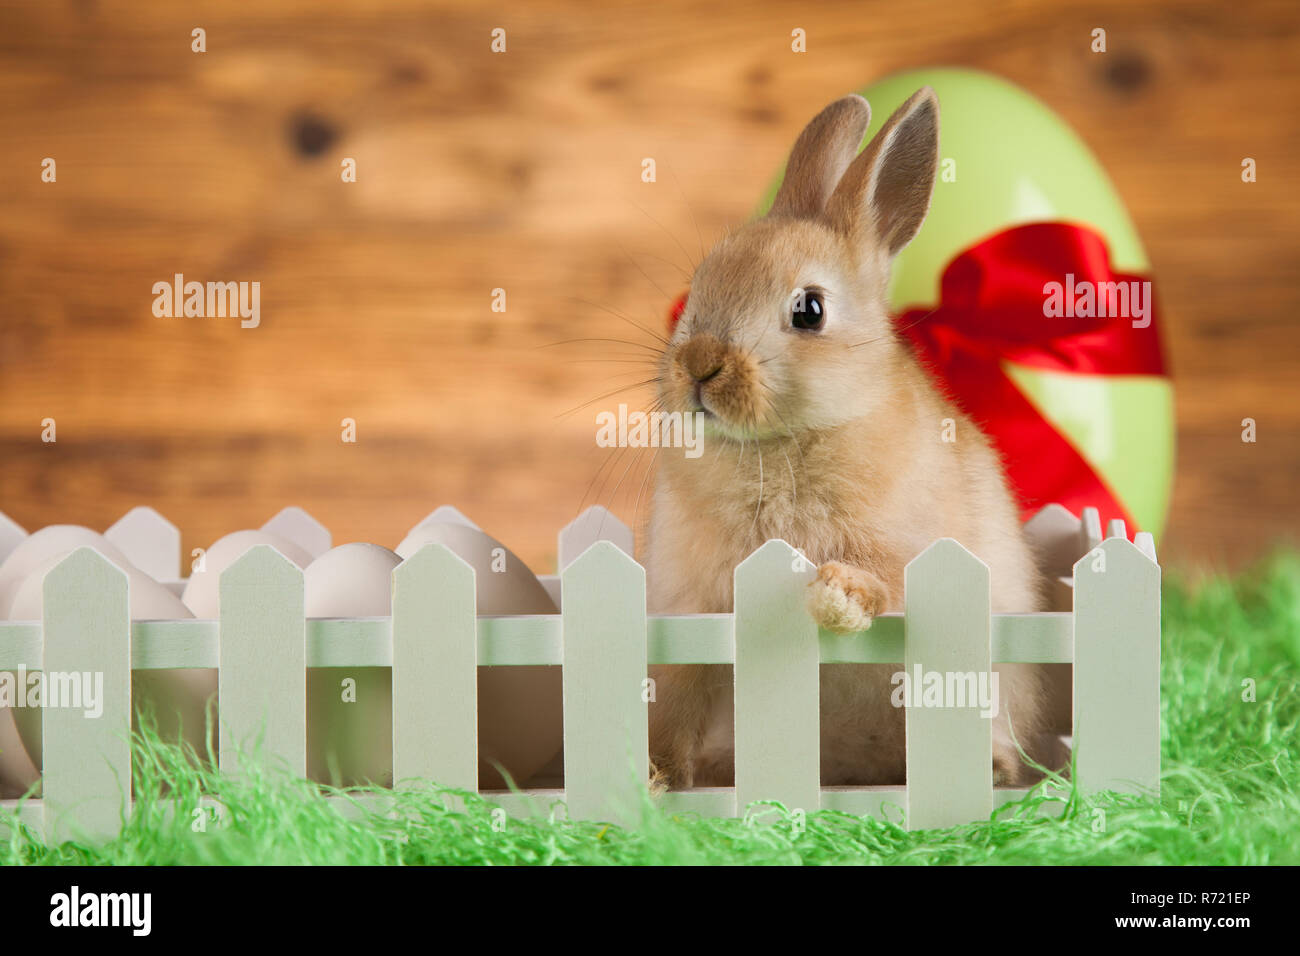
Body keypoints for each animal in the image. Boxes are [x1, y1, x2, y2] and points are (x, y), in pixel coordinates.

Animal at [642, 89, 1063, 789]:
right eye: (700, 284)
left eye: (809, 310)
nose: (699, 365)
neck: (782, 441)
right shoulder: (686, 617)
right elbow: (674, 704)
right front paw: (656, 781)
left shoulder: (905, 553)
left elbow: (883, 582)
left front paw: (834, 599)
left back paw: (997, 770)